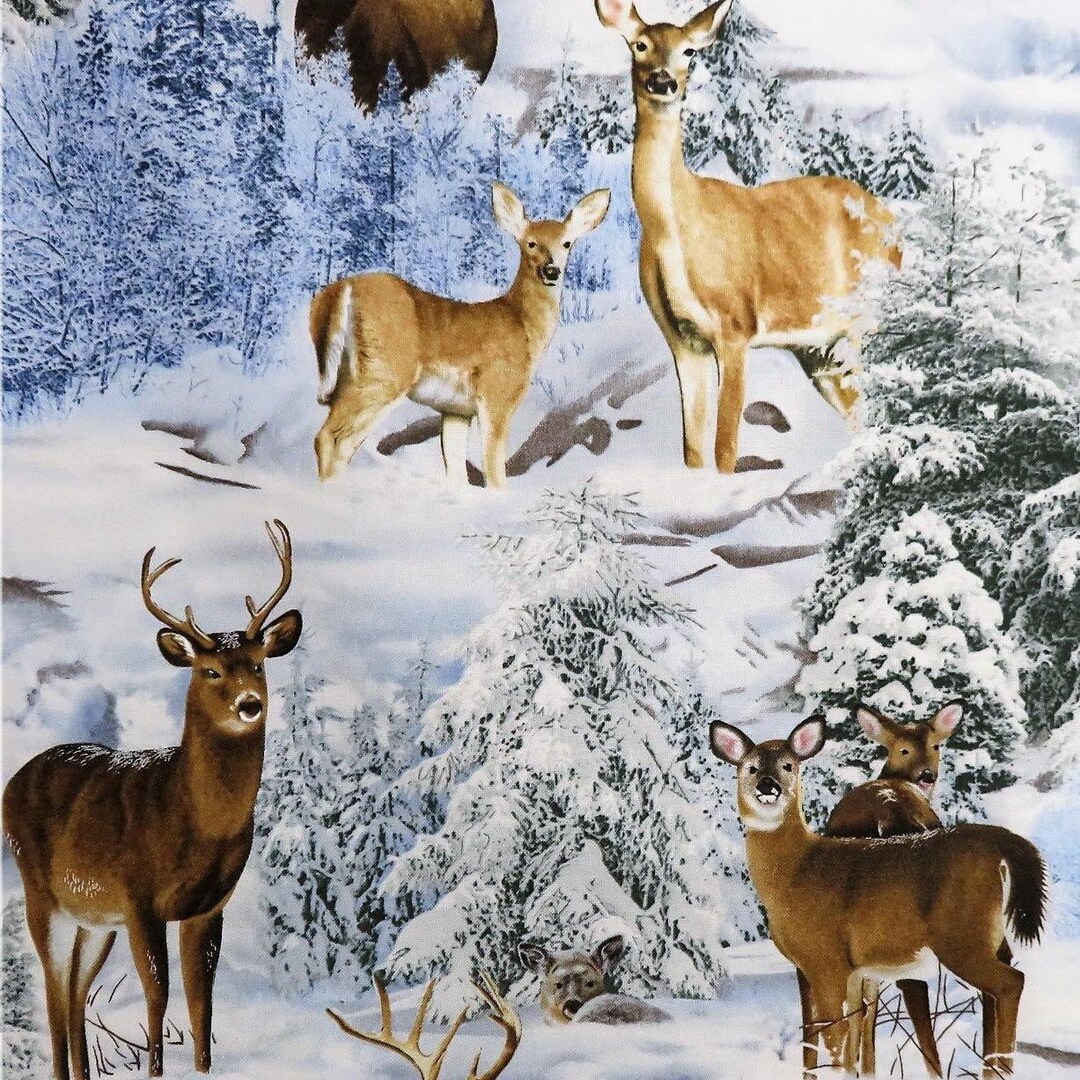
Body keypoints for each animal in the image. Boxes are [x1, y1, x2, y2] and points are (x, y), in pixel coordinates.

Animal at [2, 521, 302, 1080]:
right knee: (52, 992)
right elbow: (158, 994)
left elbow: (202, 1000)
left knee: (74, 992)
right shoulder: (140, 898)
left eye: (257, 665)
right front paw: (156, 1070)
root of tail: (14, 779)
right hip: (42, 893)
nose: (250, 704)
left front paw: (204, 1068)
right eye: (210, 671)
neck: (192, 819)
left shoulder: (209, 906)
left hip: (95, 919)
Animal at [312, 183, 610, 487]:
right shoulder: (495, 393)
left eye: (567, 243)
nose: (551, 270)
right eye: (530, 243)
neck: (522, 324)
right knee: (330, 437)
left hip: (351, 372)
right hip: (385, 371)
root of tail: (341, 289)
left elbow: (456, 472)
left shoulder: (457, 410)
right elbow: (494, 471)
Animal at [596, 0, 902, 474]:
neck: (676, 229)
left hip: (868, 322)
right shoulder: (681, 340)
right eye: (640, 44)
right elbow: (693, 452)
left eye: (688, 51)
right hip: (821, 351)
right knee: (863, 415)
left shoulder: (736, 325)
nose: (663, 82)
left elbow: (726, 449)